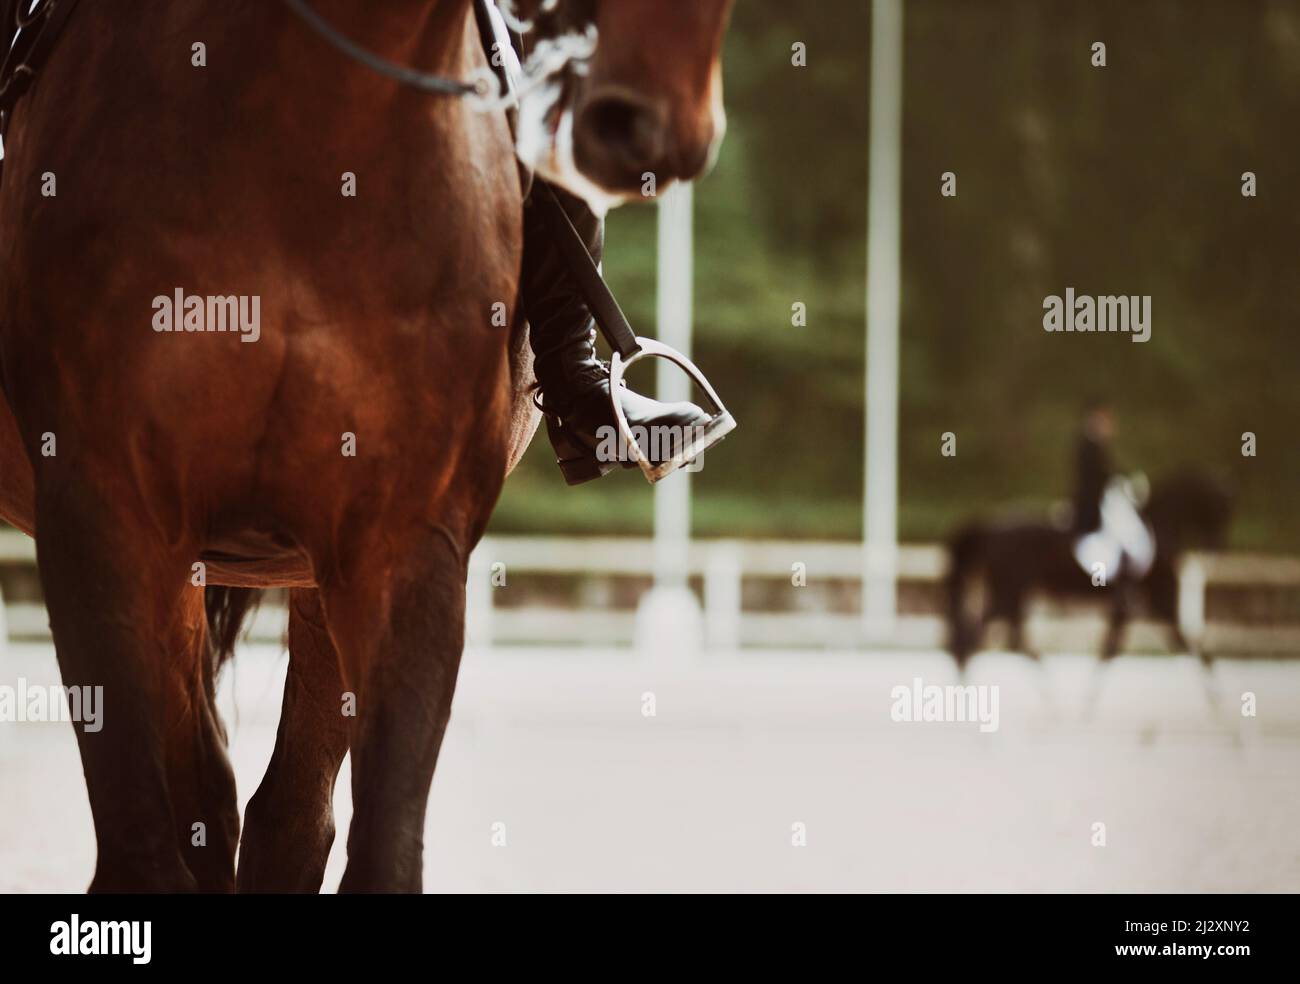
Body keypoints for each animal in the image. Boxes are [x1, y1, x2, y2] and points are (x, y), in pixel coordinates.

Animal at [0, 0, 734, 892]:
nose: (653, 129)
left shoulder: (404, 543)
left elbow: (379, 845)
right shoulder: (103, 518)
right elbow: (143, 852)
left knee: (275, 814)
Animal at [945, 469, 1234, 672]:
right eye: (1220, 510)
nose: (1217, 549)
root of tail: (989, 523)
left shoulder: (1138, 609)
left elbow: (1111, 651)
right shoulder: (1156, 604)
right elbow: (1191, 650)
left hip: (1012, 594)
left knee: (1007, 641)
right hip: (1007, 593)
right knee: (977, 641)